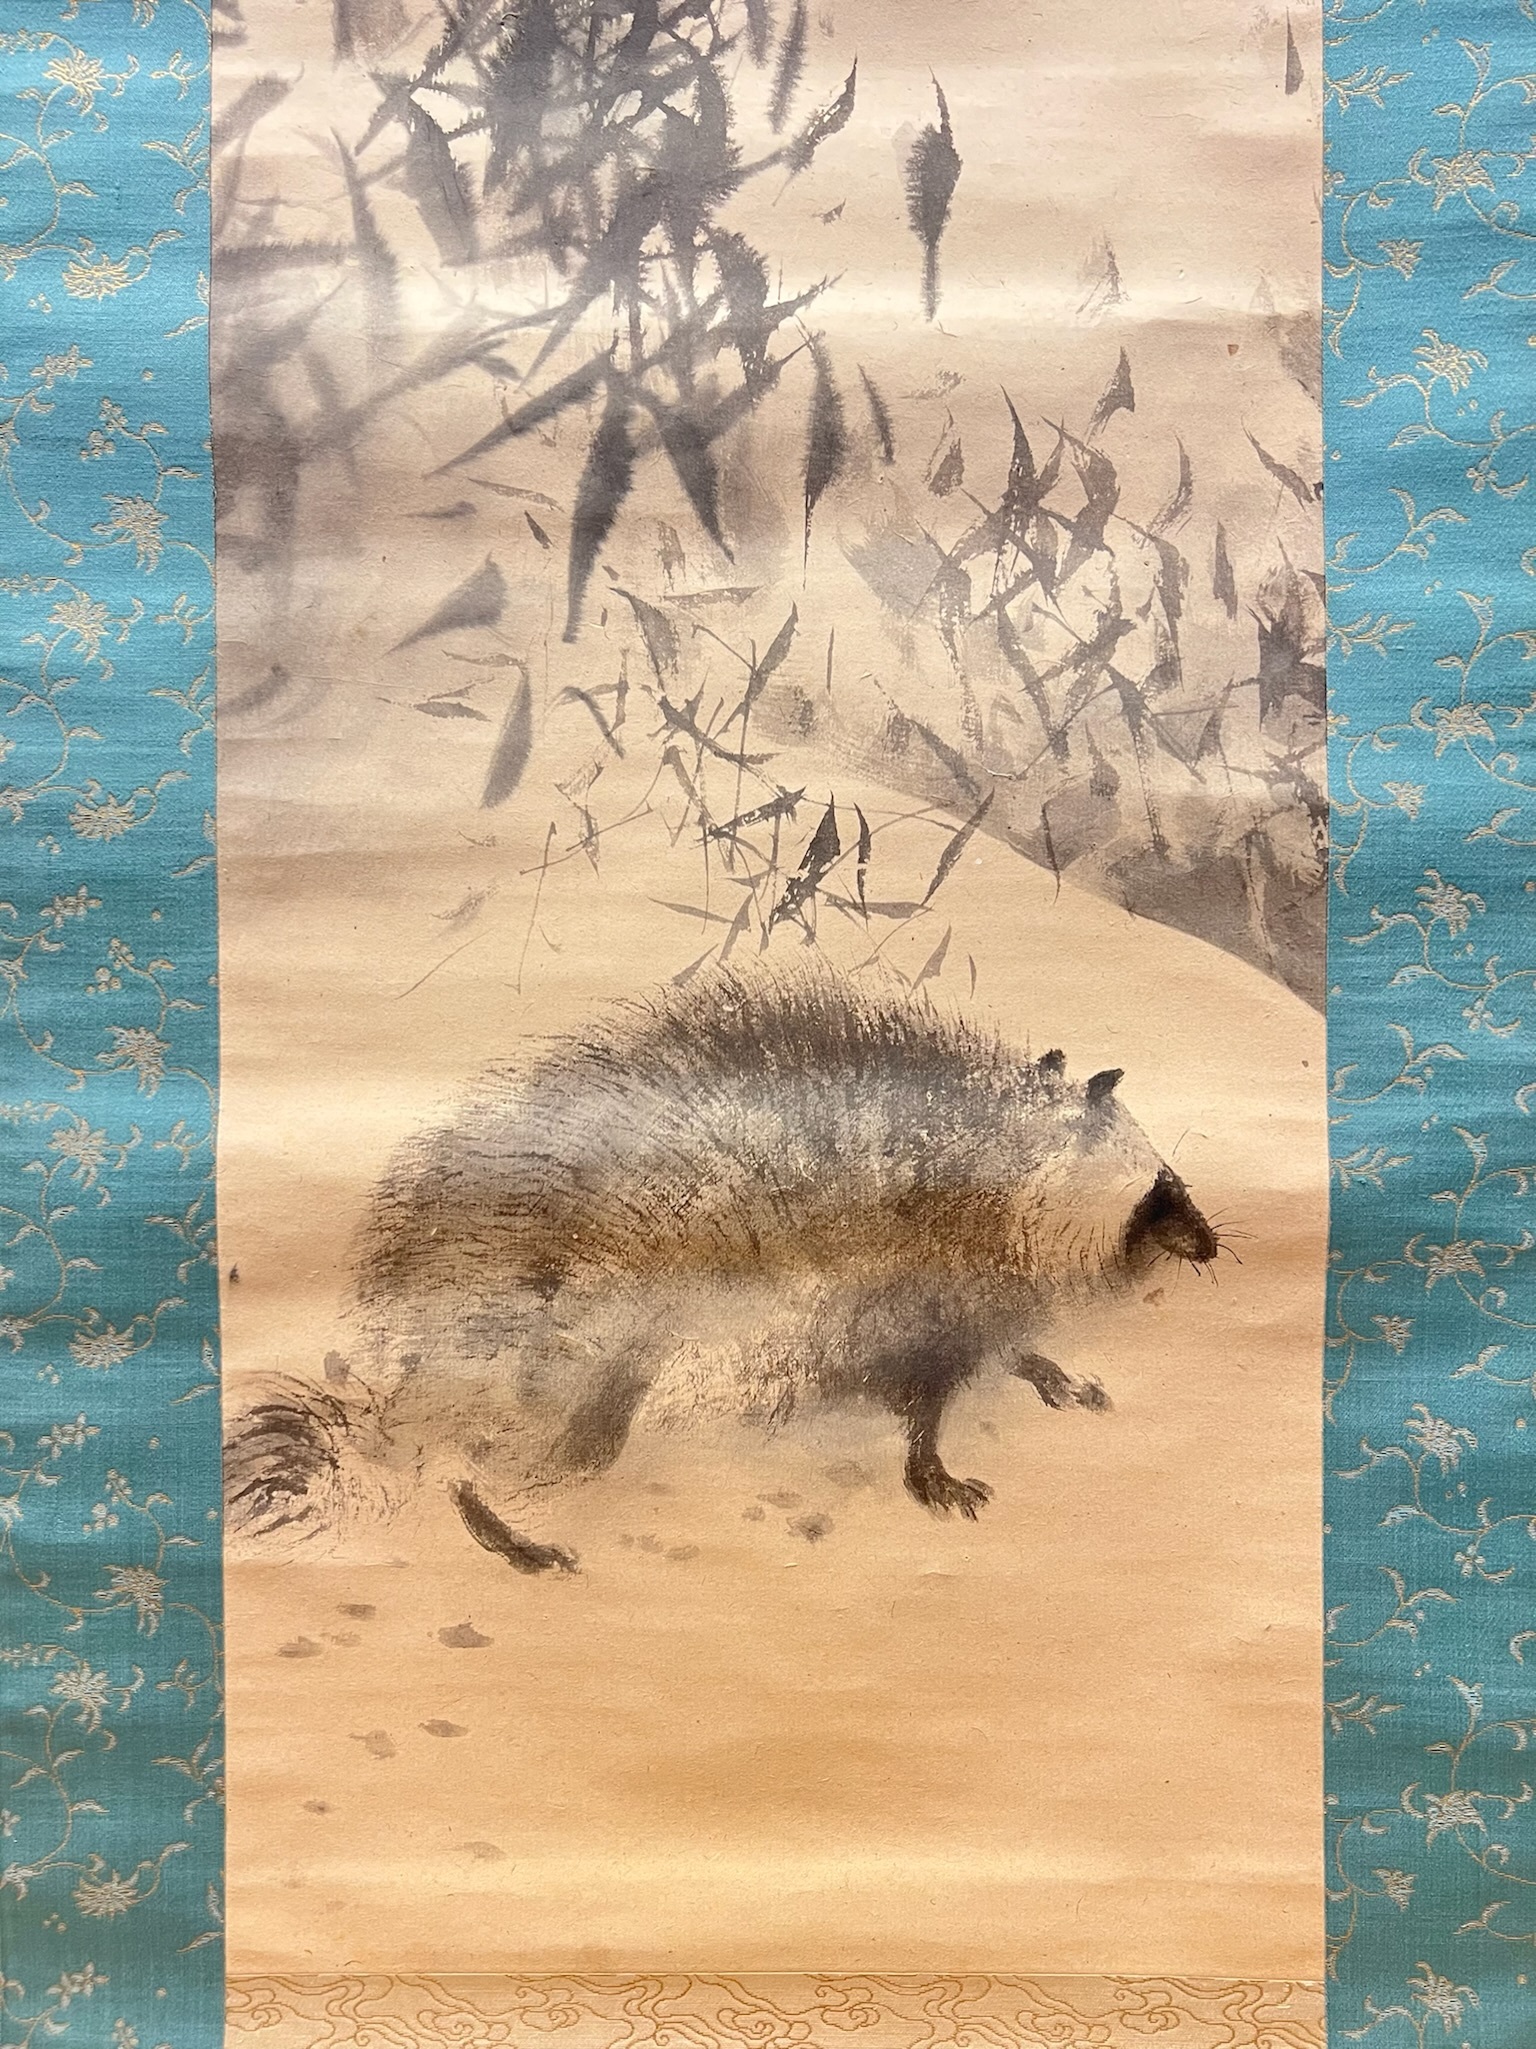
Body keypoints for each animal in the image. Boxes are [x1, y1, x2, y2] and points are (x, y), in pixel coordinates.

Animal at [224, 963, 1219, 1572]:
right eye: (1162, 1186)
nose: (1212, 1244)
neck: (999, 1167)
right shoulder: (915, 1287)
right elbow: (925, 1397)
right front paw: (933, 1462)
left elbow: (1006, 1347)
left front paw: (1052, 1370)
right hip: (568, 1361)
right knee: (517, 1450)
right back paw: (498, 1520)